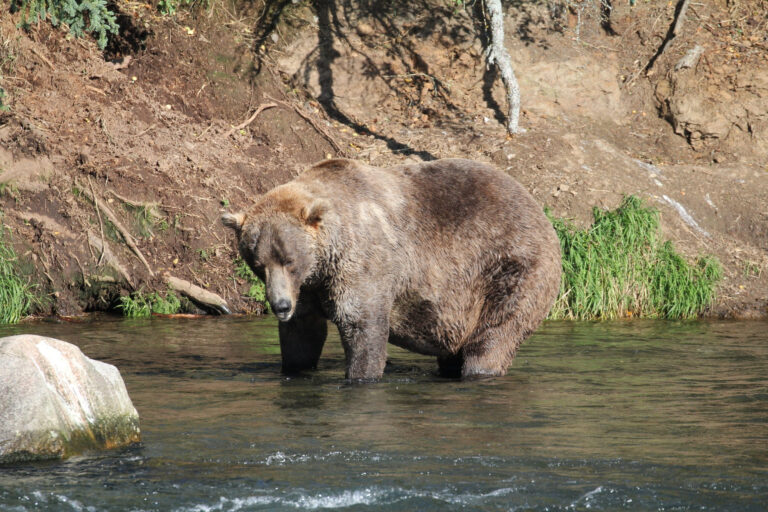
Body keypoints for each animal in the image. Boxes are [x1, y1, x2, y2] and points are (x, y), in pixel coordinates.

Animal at [222, 158, 561, 381]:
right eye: (258, 264)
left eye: (289, 260)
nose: (280, 305)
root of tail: (539, 210)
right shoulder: (309, 288)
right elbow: (303, 334)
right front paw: (295, 367)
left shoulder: (363, 263)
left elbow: (363, 325)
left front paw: (360, 375)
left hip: (509, 267)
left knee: (495, 334)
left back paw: (480, 369)